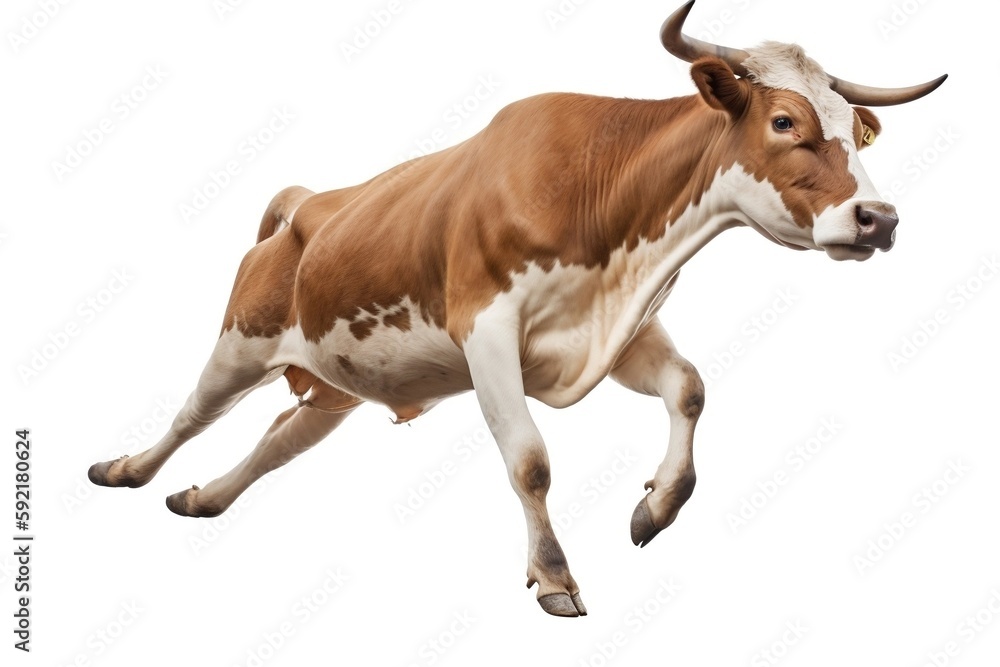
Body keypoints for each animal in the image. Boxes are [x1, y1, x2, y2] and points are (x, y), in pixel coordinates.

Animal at [89, 1, 945, 617]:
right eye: (784, 122)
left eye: (855, 130)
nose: (878, 218)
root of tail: (305, 202)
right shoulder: (487, 330)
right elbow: (530, 459)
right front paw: (555, 576)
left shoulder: (620, 330)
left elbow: (691, 387)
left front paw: (657, 506)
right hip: (242, 339)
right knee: (191, 414)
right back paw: (126, 469)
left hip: (335, 384)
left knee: (277, 440)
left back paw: (203, 497)